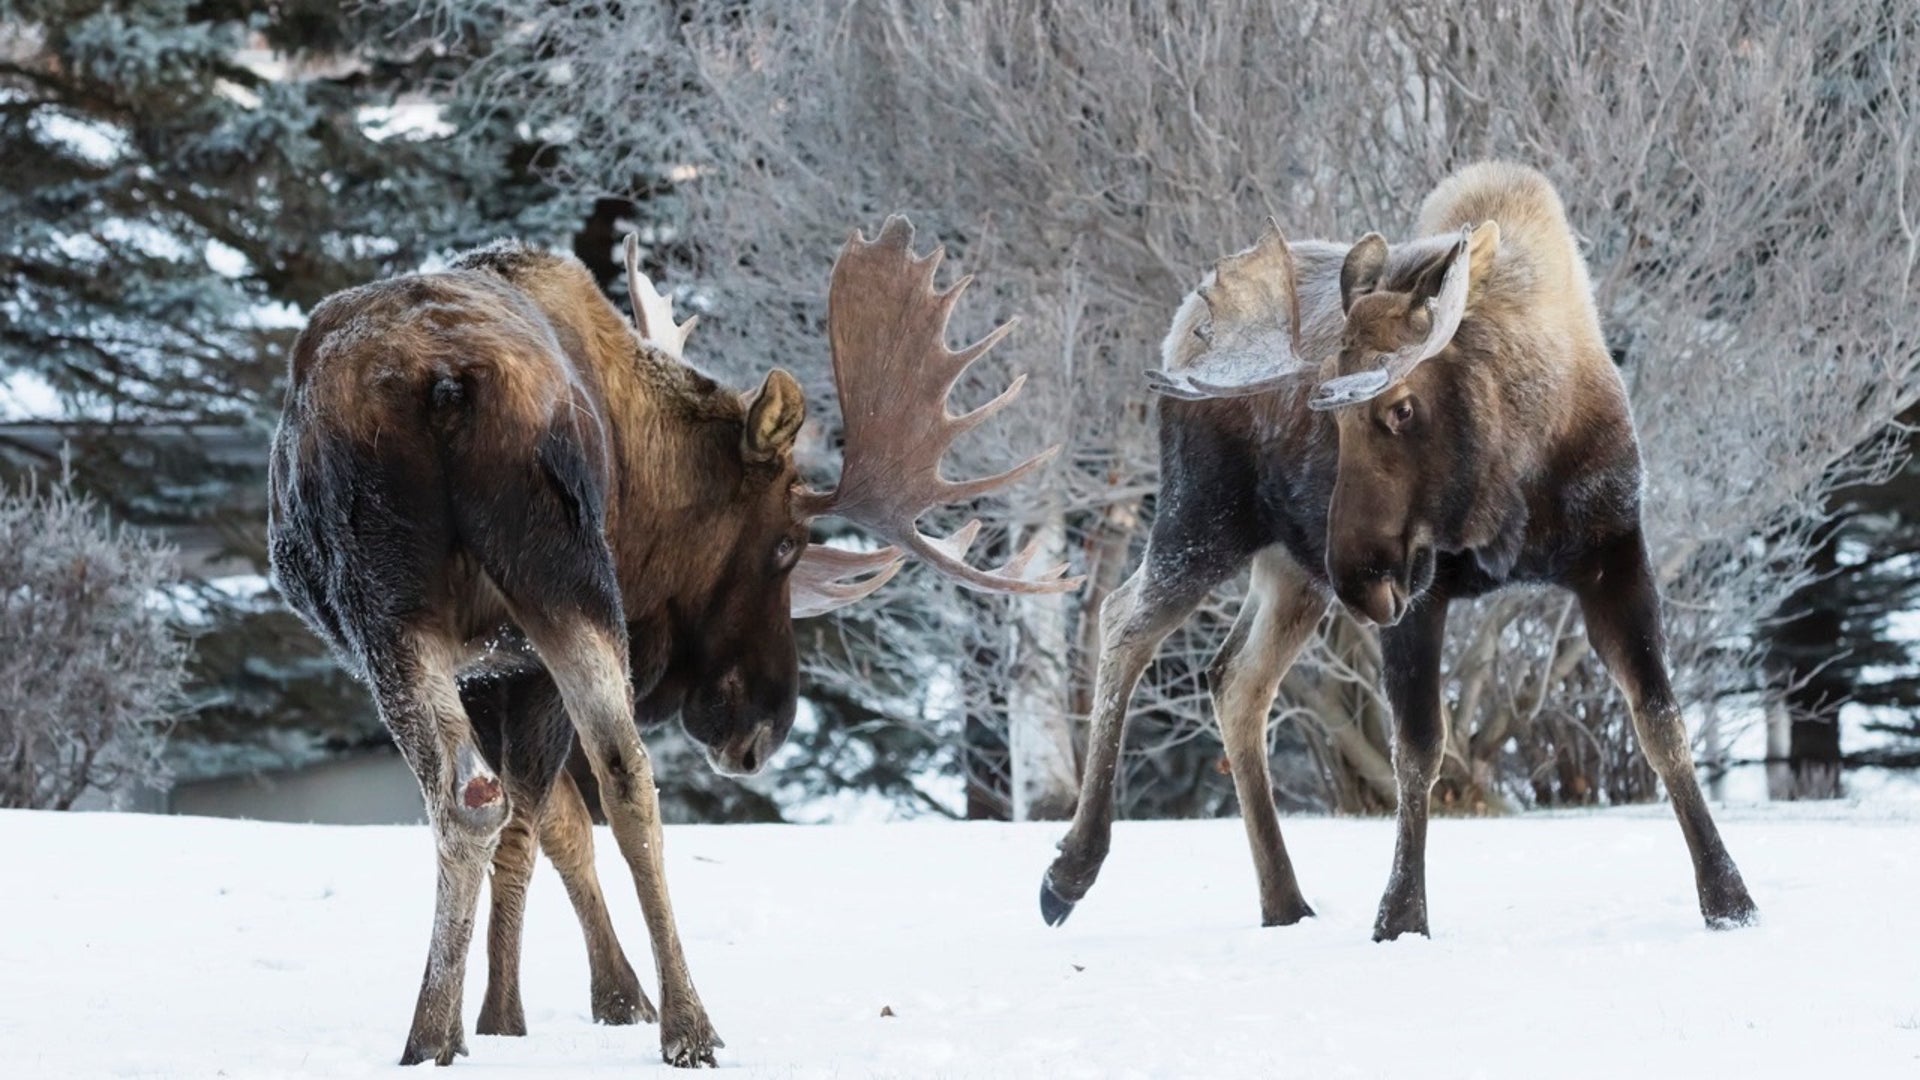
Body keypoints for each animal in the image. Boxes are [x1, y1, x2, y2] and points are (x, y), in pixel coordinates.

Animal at [267, 216, 1074, 1068]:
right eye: (786, 545)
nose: (763, 731)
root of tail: (445, 384)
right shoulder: (511, 668)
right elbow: (548, 824)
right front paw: (535, 1010)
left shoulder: (494, 671)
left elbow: (545, 823)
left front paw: (525, 1012)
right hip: (526, 588)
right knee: (602, 782)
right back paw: (676, 1024)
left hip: (421, 604)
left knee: (513, 791)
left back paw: (451, 1031)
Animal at [1037, 162, 1759, 941]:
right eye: (1331, 415)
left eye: (1402, 407)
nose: (1360, 579)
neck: (1518, 475)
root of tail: (1179, 333)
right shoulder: (1422, 592)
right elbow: (1416, 748)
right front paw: (1401, 915)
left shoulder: (1613, 557)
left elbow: (1662, 725)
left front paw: (1730, 901)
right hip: (1204, 518)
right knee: (1122, 621)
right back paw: (1069, 870)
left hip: (1294, 569)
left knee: (1236, 679)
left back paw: (1284, 901)